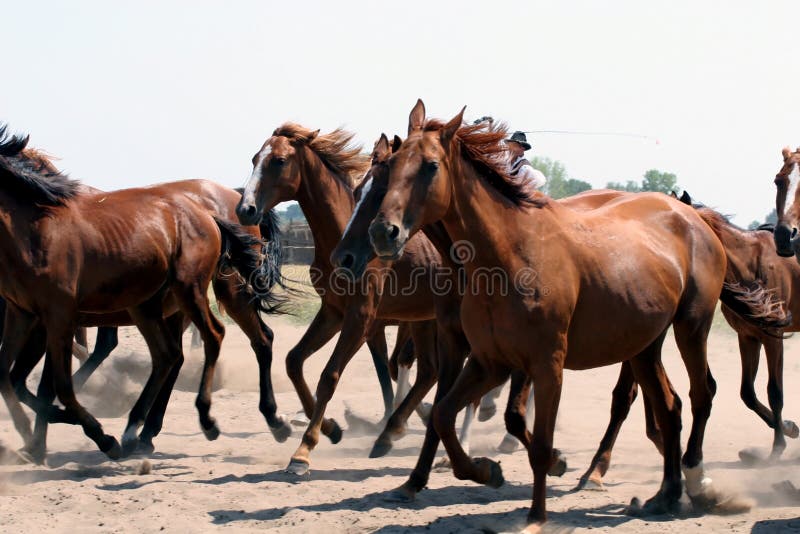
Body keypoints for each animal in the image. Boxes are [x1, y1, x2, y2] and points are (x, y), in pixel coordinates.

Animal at [0, 125, 275, 460]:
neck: (35, 230)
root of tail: (215, 208)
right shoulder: (25, 314)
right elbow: (12, 378)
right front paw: (34, 440)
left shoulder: (56, 317)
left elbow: (52, 386)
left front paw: (79, 435)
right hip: (153, 307)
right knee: (173, 355)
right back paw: (140, 432)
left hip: (205, 291)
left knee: (224, 338)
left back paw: (211, 420)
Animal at [579, 192, 798, 490]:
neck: (752, 262)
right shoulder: (747, 336)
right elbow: (748, 393)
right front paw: (787, 429)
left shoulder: (771, 339)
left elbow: (774, 392)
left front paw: (778, 447)